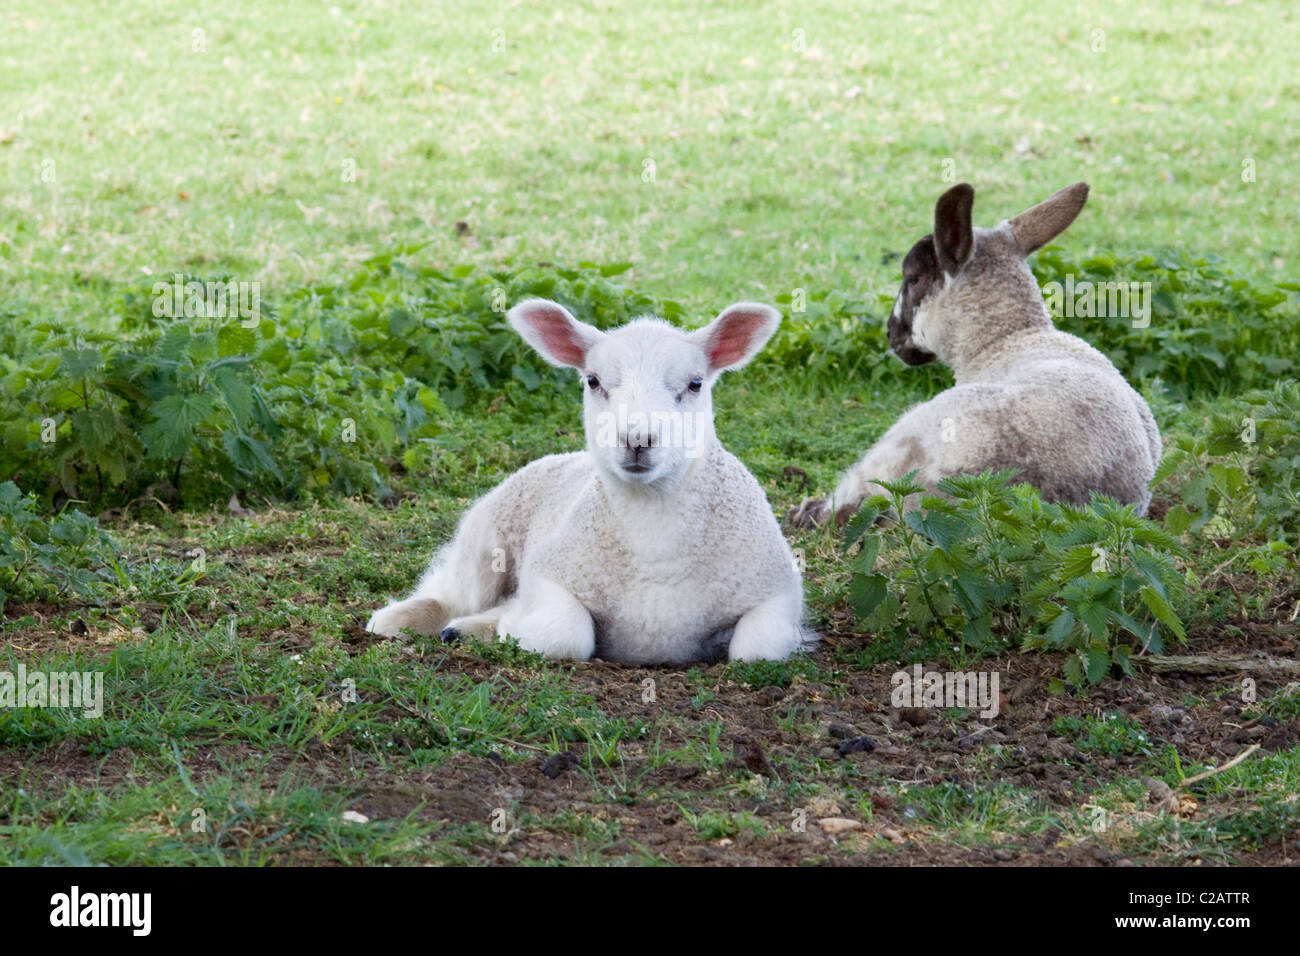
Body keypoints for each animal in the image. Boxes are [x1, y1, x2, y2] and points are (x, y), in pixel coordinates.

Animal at [367, 298, 811, 664]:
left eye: (695, 383)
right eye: (593, 381)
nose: (637, 438)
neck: (656, 549)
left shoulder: (778, 591)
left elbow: (756, 649)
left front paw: (503, 624)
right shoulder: (550, 571)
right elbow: (566, 636)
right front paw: (512, 625)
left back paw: (465, 629)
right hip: (486, 541)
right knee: (449, 593)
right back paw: (395, 620)